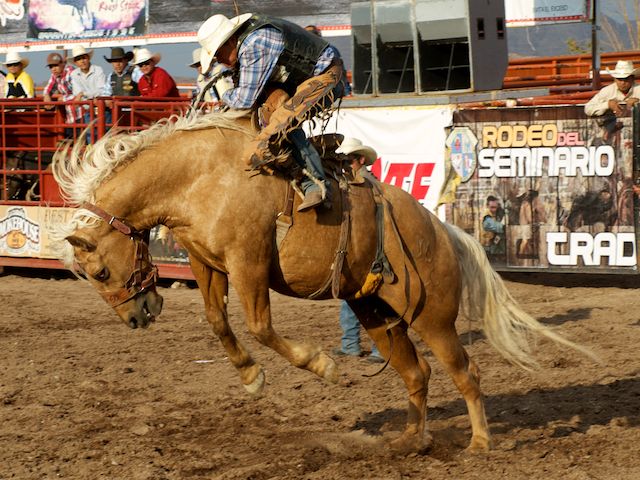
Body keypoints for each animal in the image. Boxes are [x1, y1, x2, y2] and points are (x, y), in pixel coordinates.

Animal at [51, 110, 593, 453]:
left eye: (100, 271)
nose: (136, 316)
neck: (198, 178)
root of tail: (441, 229)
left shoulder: (248, 263)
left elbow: (259, 326)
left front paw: (322, 366)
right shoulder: (208, 264)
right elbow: (217, 323)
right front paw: (251, 377)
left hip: (432, 316)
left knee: (466, 372)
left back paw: (479, 443)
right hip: (377, 315)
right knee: (417, 374)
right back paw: (408, 441)